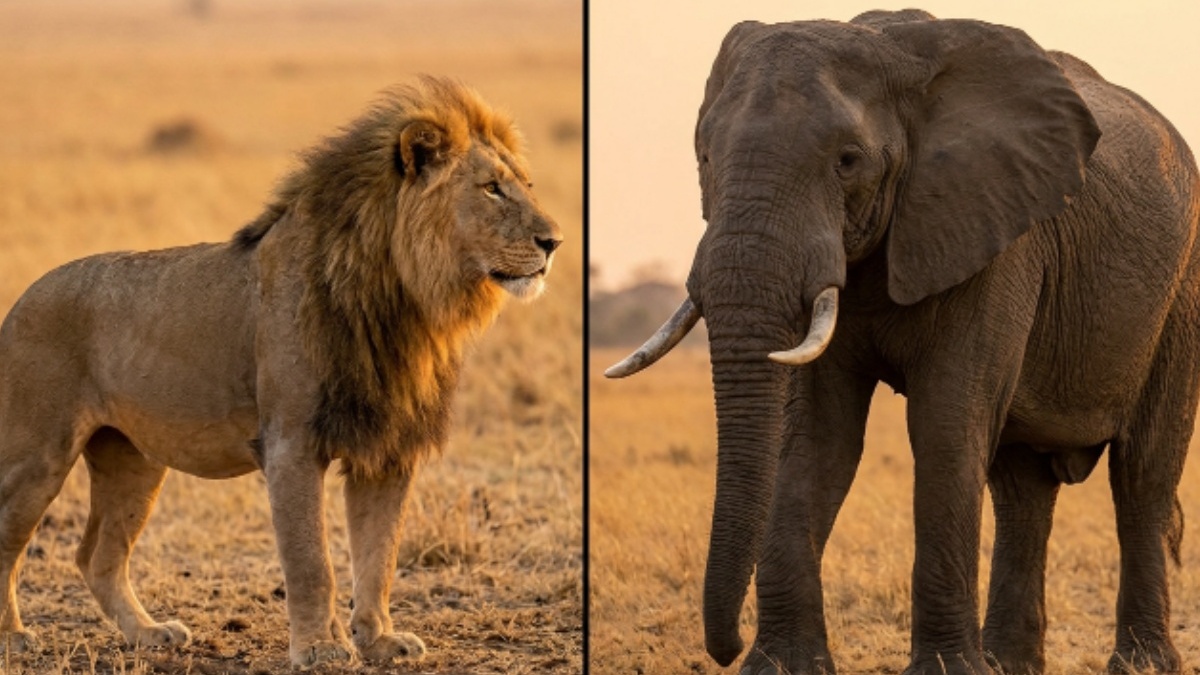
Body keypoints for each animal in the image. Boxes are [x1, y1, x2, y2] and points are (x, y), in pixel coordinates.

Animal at [0, 76, 562, 667]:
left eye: (525, 184)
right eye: (492, 188)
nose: (555, 242)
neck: (405, 302)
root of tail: (21, 299)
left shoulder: (387, 450)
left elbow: (379, 556)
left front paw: (379, 640)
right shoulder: (291, 443)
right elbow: (312, 562)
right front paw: (321, 648)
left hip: (132, 459)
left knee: (98, 556)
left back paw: (149, 634)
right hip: (38, 455)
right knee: (13, 537)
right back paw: (14, 636)